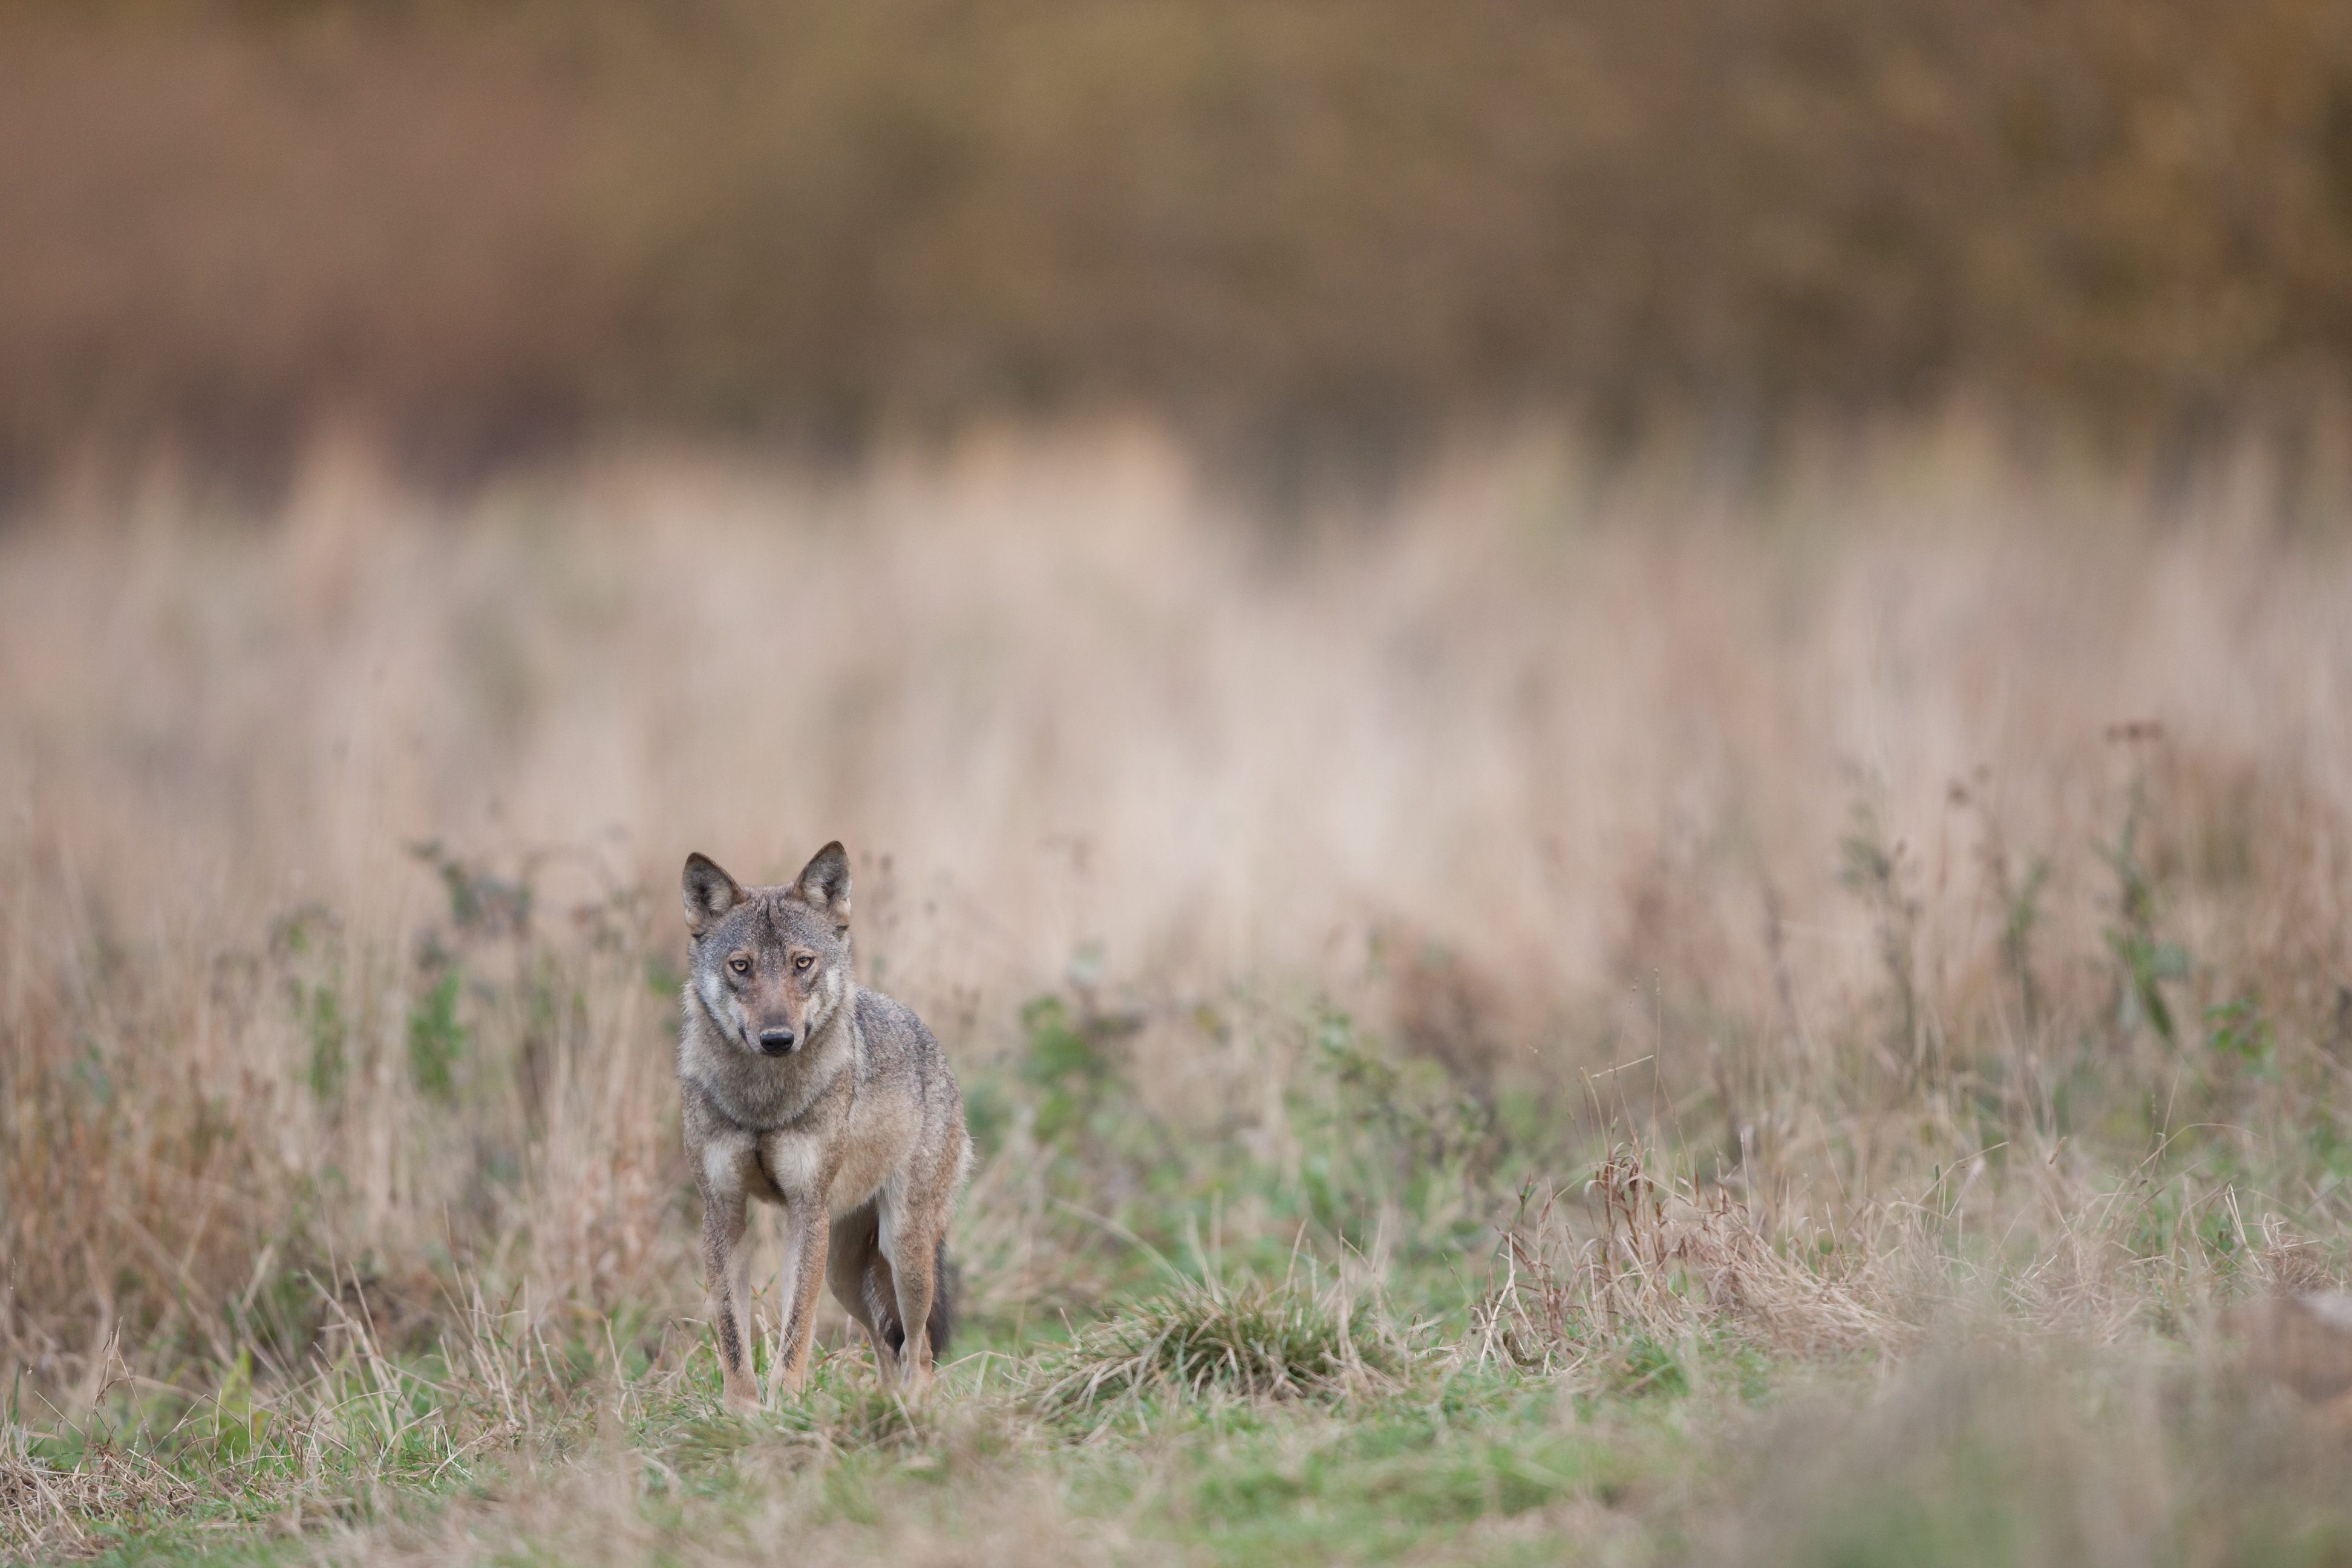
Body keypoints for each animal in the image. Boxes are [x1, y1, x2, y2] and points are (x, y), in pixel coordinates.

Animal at [677, 842, 970, 1408]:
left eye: (802, 963)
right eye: (741, 966)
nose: (776, 1039)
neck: (763, 1101)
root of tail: (932, 1044)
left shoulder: (806, 1211)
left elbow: (797, 1329)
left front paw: (785, 1403)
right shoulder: (723, 1211)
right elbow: (731, 1333)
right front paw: (742, 1411)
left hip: (902, 1252)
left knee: (918, 1347)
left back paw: (912, 1409)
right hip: (844, 1273)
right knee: (885, 1345)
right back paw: (883, 1405)